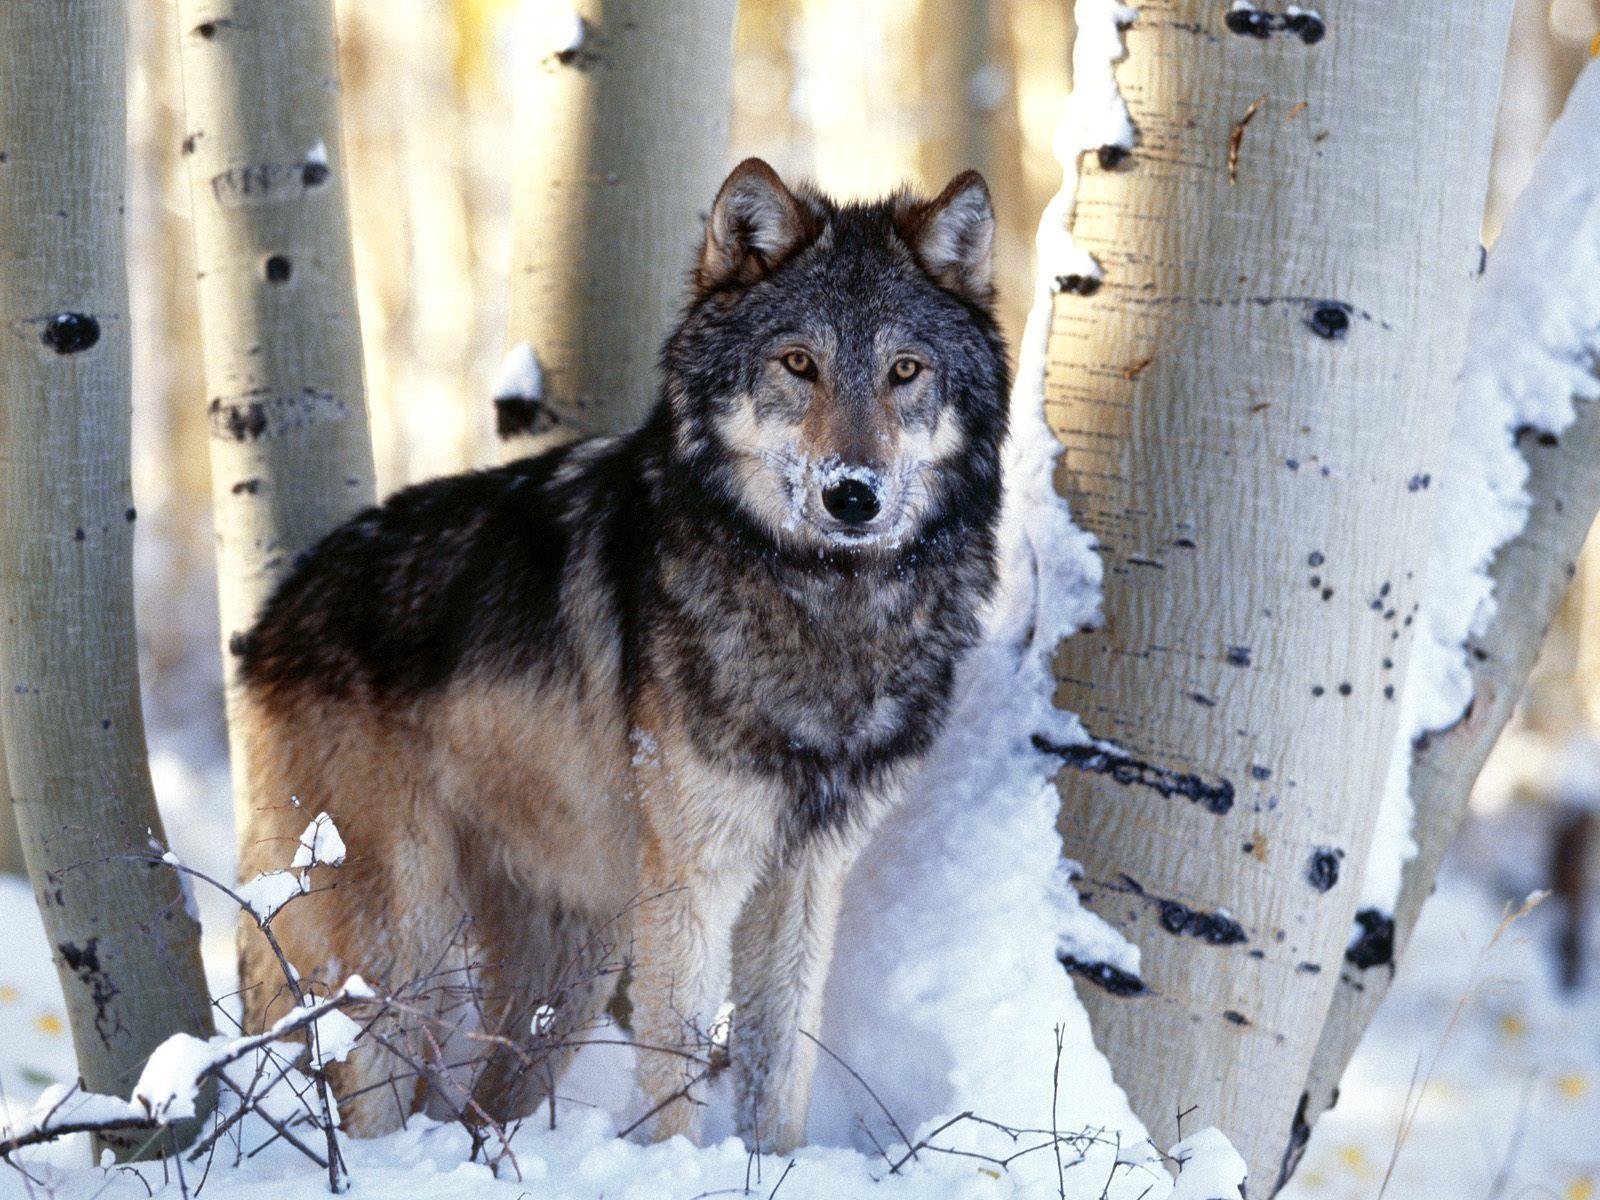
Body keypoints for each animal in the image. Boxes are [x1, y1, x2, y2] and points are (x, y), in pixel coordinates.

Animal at [234, 158, 1009, 1153]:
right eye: (799, 363)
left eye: (905, 371)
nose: (852, 495)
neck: (825, 605)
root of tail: (271, 618)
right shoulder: (694, 879)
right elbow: (675, 1077)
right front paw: (683, 1167)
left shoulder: (806, 877)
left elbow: (779, 1073)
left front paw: (773, 1165)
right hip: (405, 945)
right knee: (371, 1098)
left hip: (570, 969)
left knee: (475, 1107)